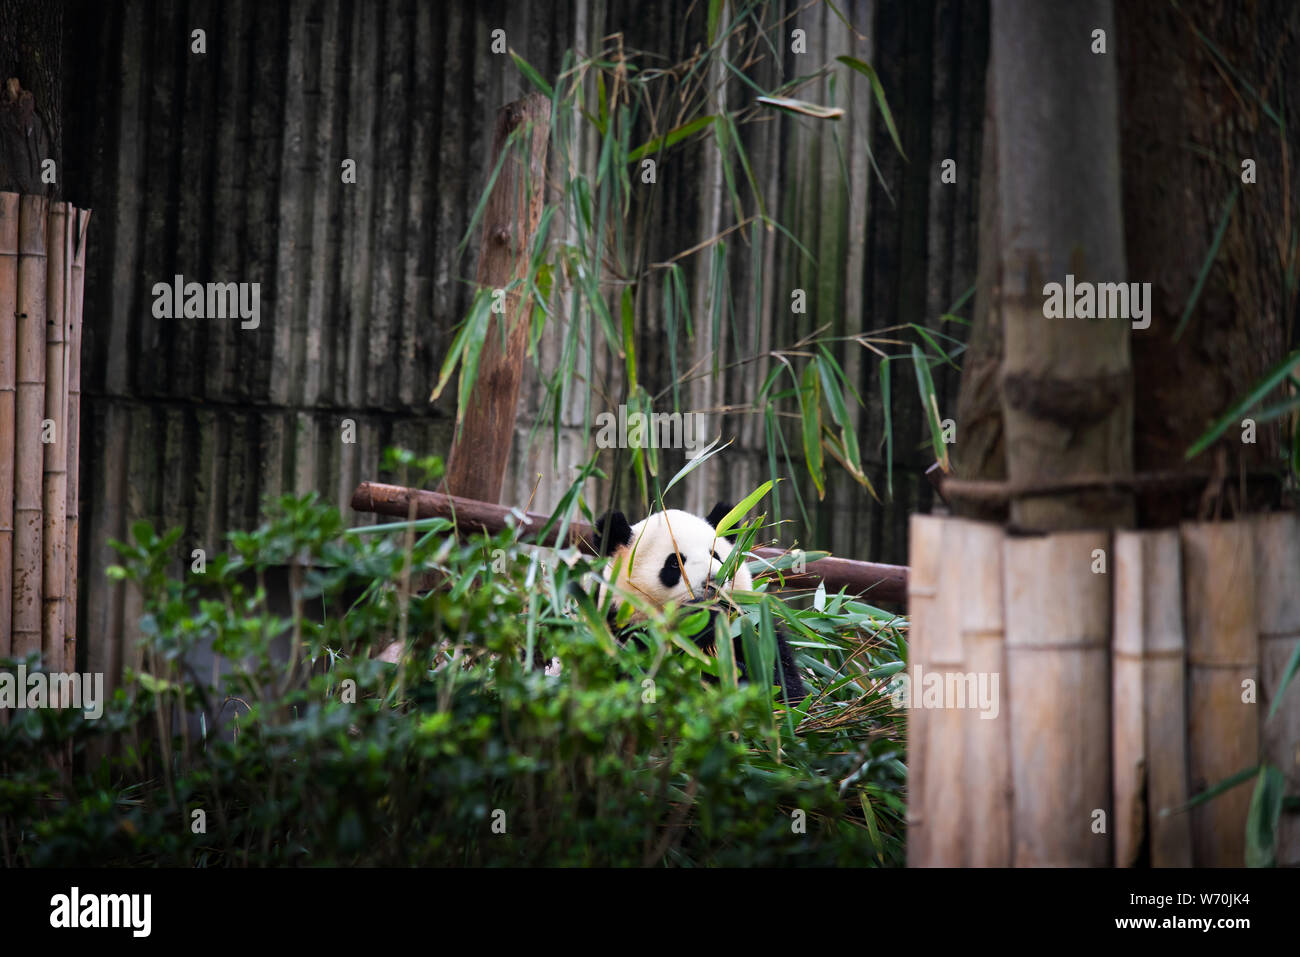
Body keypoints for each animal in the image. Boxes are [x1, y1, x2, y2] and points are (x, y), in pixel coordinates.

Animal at [591, 502, 807, 704]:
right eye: (674, 563)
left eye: (716, 555)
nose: (713, 581)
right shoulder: (618, 629)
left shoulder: (751, 624)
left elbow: (785, 686)